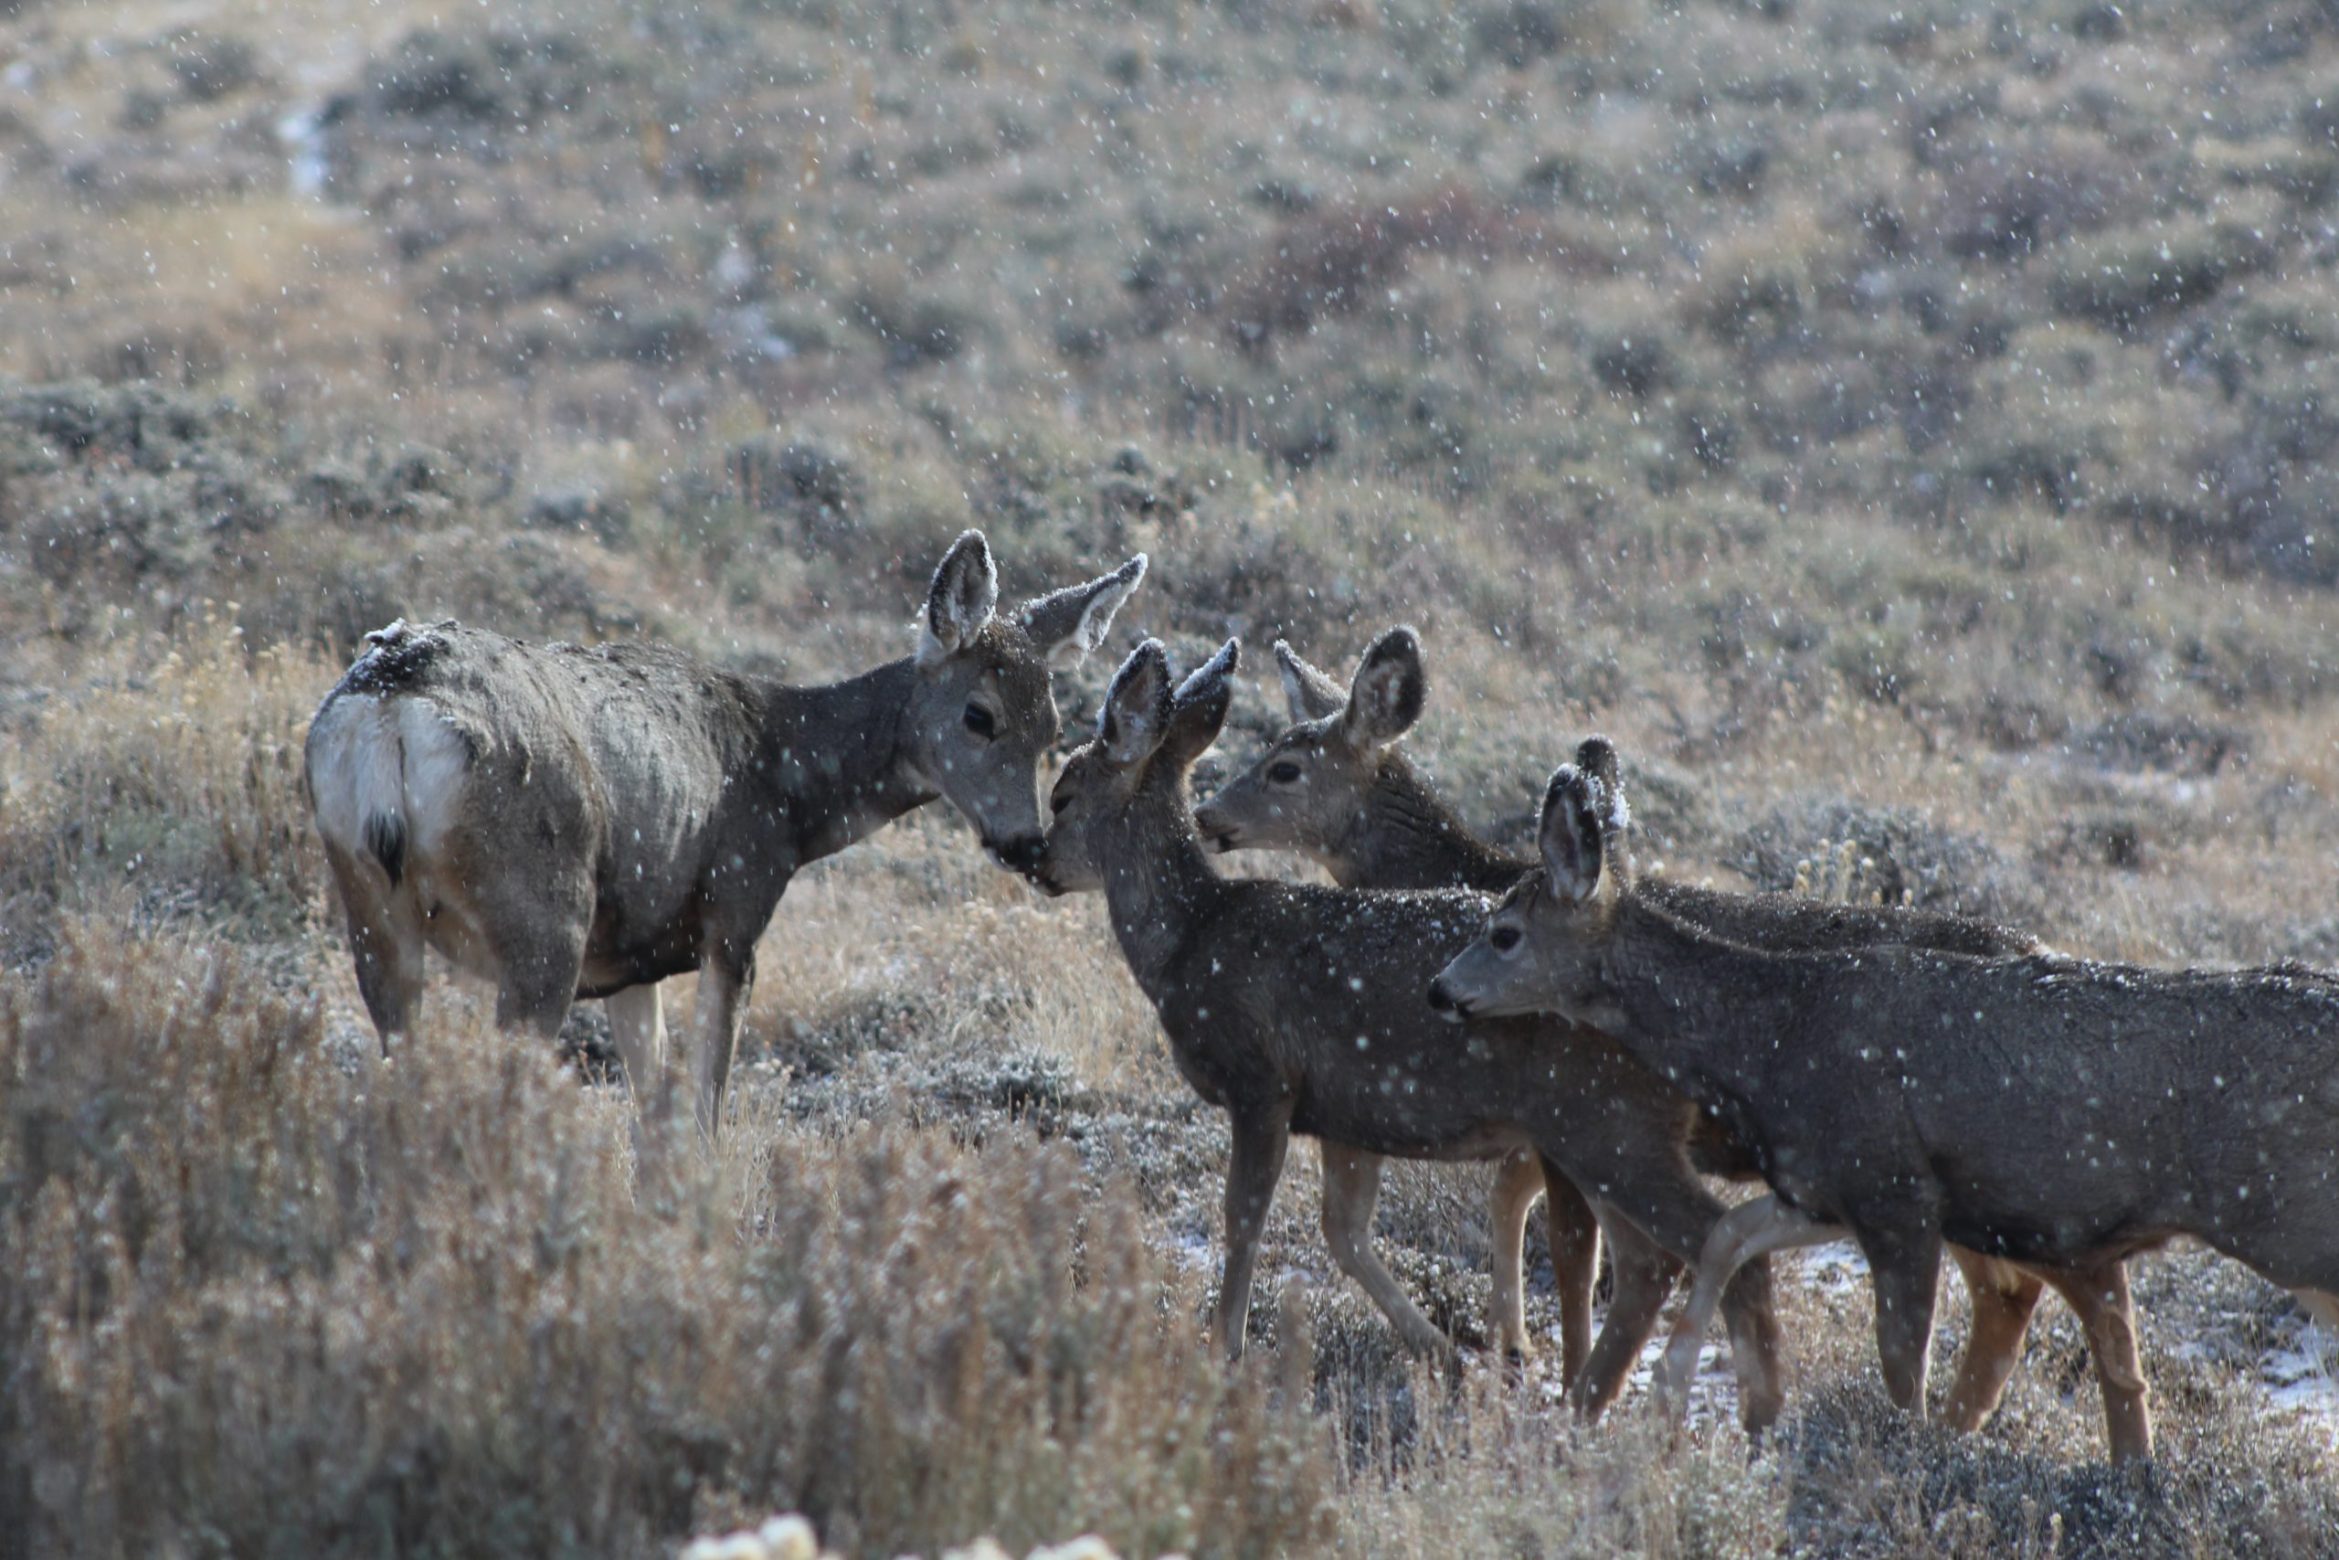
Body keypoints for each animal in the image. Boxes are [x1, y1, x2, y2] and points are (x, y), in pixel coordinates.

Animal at [305, 531, 1145, 1140]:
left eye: (1054, 729)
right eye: (979, 715)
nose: (1024, 842)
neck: (788, 786)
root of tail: (392, 707)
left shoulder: (630, 960)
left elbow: (654, 1111)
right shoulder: (736, 910)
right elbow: (705, 1108)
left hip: (368, 900)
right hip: (543, 912)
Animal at [1029, 637, 1790, 1434]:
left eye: (1063, 794)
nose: (1033, 861)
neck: (1190, 938)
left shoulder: (1260, 1079)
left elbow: (1244, 1220)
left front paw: (1223, 1357)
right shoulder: (1345, 1109)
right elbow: (1344, 1230)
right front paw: (1448, 1357)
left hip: (1602, 1123)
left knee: (1687, 1248)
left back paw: (1716, 1414)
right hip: (1601, 1131)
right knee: (1655, 1256)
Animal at [1203, 629, 2154, 1458]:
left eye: (1282, 766)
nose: (1209, 817)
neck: (1460, 876)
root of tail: (2039, 948)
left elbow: (1571, 1247)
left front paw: (1566, 1376)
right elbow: (1515, 1207)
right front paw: (1516, 1352)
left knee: (2060, 1291)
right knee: (2027, 1293)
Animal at [1432, 751, 2339, 1461]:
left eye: (1503, 932)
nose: (1441, 991)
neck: (1774, 1032)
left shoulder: (1895, 1191)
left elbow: (1900, 1363)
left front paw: (1899, 1453)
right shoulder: (1823, 1186)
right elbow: (1729, 1238)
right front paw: (1671, 1400)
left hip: (2293, 1223)